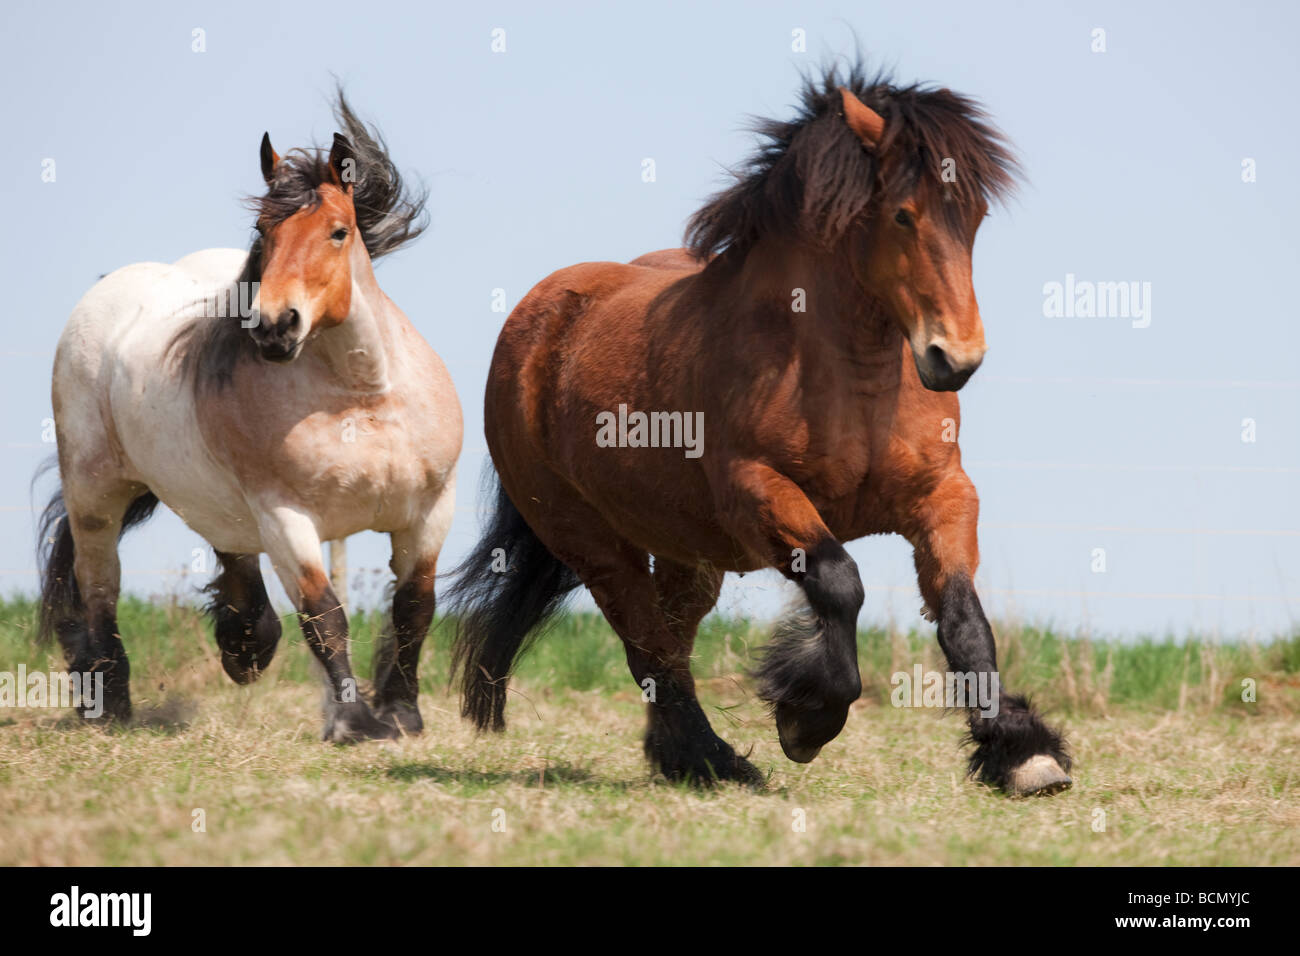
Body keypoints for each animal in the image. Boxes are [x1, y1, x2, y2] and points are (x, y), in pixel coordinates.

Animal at [37, 94, 462, 742]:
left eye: (338, 231)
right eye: (265, 231)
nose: (274, 326)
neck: (360, 396)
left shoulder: (431, 508)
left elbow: (414, 607)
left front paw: (402, 714)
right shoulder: (286, 516)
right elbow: (325, 615)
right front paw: (353, 722)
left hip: (206, 497)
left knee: (231, 555)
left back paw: (244, 647)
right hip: (95, 495)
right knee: (99, 585)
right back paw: (113, 703)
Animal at [449, 64, 1072, 796]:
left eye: (973, 216)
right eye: (903, 214)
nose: (956, 358)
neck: (849, 376)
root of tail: (535, 320)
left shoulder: (942, 494)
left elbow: (964, 620)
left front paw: (1025, 754)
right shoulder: (756, 492)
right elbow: (840, 582)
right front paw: (807, 718)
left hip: (690, 555)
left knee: (670, 643)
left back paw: (680, 757)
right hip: (594, 543)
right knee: (648, 648)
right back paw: (711, 760)